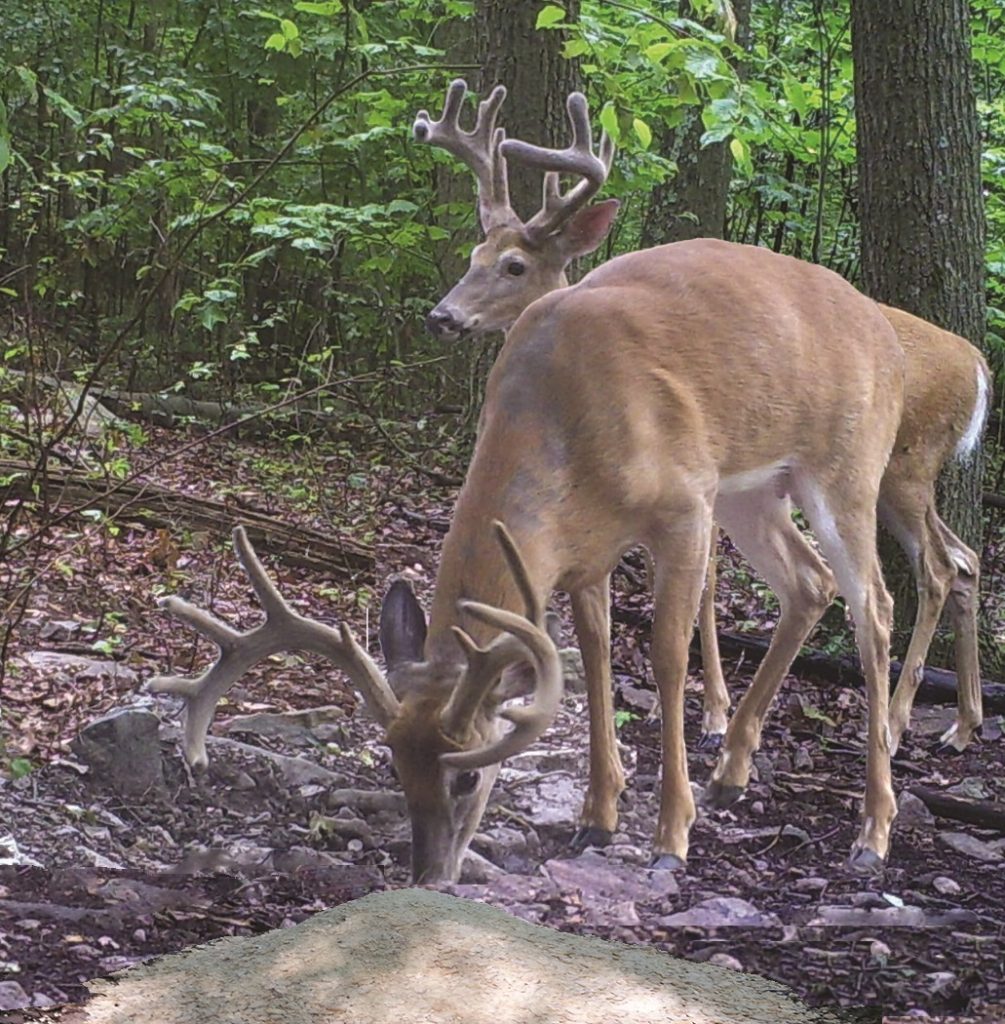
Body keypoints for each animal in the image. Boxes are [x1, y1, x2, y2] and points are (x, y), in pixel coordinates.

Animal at [150, 81, 910, 885]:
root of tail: (886, 331)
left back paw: (871, 829)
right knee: (808, 583)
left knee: (874, 604)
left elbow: (665, 657)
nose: (430, 876)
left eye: (468, 776)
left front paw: (669, 836)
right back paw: (733, 771)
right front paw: (597, 816)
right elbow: (596, 655)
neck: (561, 413)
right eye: (395, 767)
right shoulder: (585, 545)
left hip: (844, 465)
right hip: (751, 488)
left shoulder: (681, 505)